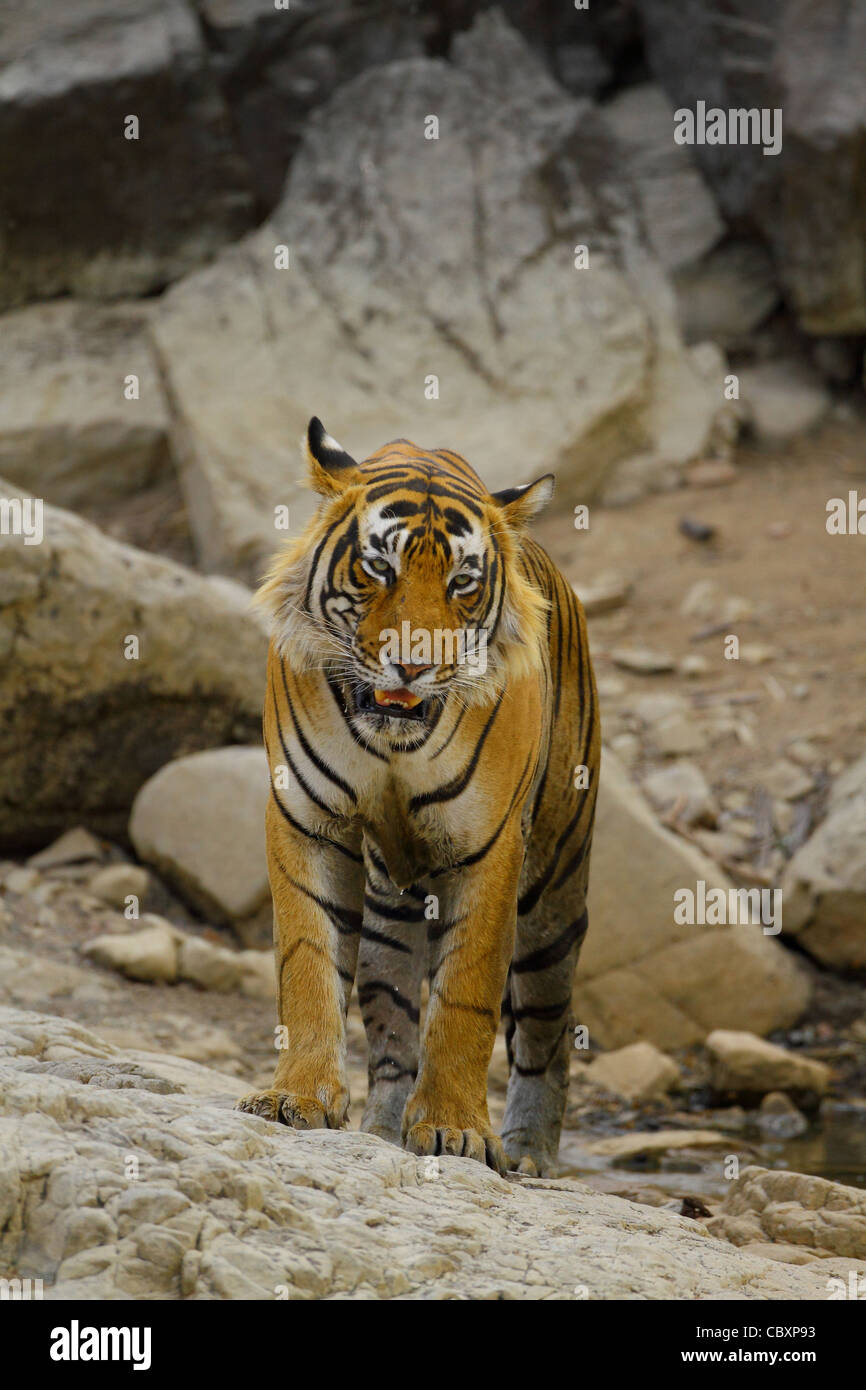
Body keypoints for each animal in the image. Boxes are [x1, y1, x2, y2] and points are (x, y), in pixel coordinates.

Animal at [236, 418, 600, 1176]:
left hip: (551, 900)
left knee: (546, 1039)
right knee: (393, 1027)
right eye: (380, 568)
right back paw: (381, 1128)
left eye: (462, 582)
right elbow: (308, 964)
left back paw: (529, 1155)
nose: (412, 664)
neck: (392, 743)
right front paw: (299, 1098)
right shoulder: (307, 820)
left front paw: (457, 1131)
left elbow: (466, 998)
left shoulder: (490, 847)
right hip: (386, 920)